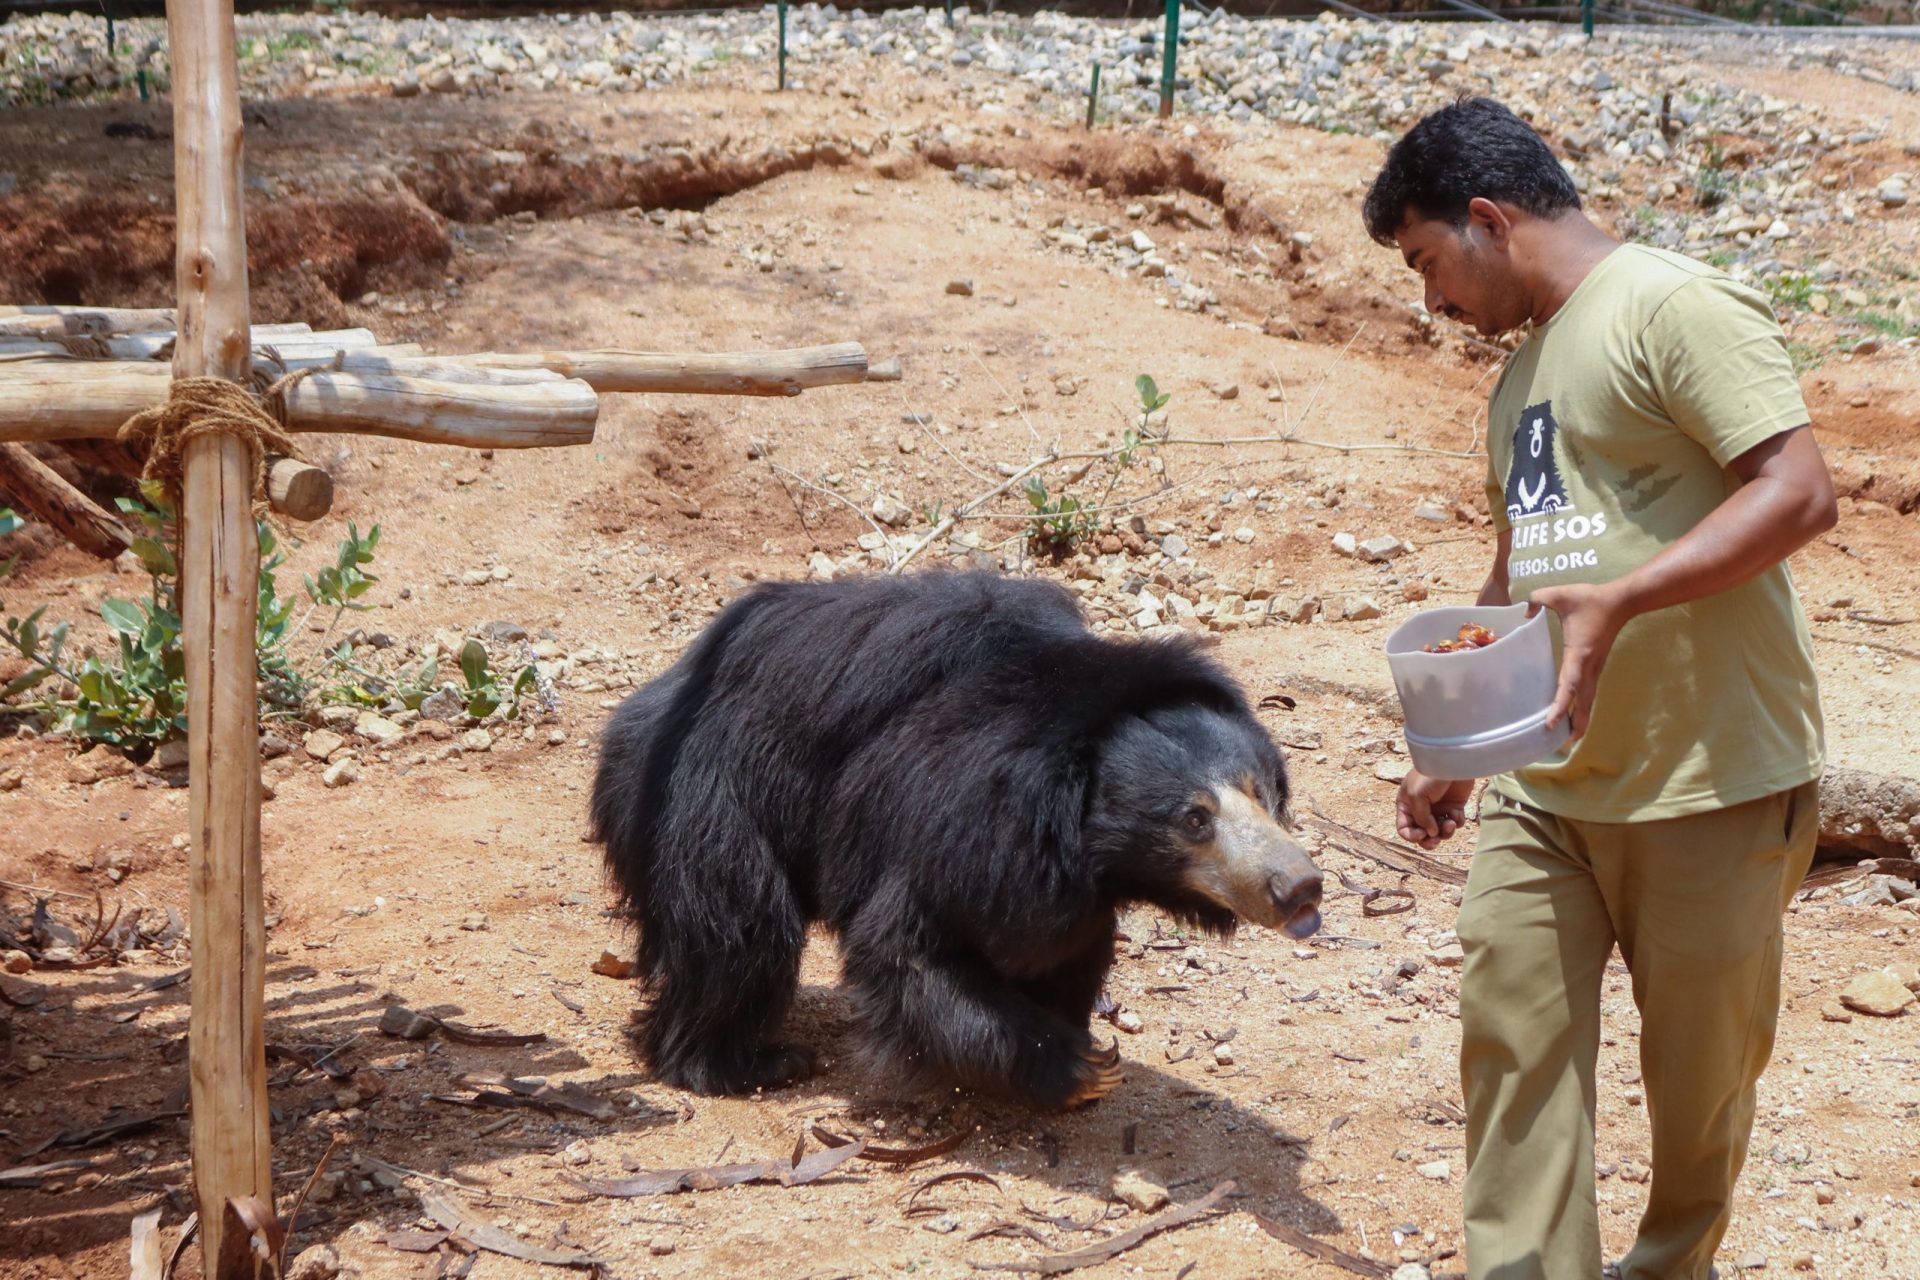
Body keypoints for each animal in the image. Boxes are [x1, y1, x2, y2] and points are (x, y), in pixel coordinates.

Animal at [590, 570, 1323, 1110]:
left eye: (1261, 792)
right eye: (1195, 818)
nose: (1301, 886)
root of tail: (654, 696)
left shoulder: (1061, 889)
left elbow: (1065, 948)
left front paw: (1079, 1044)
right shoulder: (950, 826)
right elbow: (907, 952)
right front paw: (1082, 1067)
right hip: (701, 798)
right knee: (740, 931)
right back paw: (747, 1064)